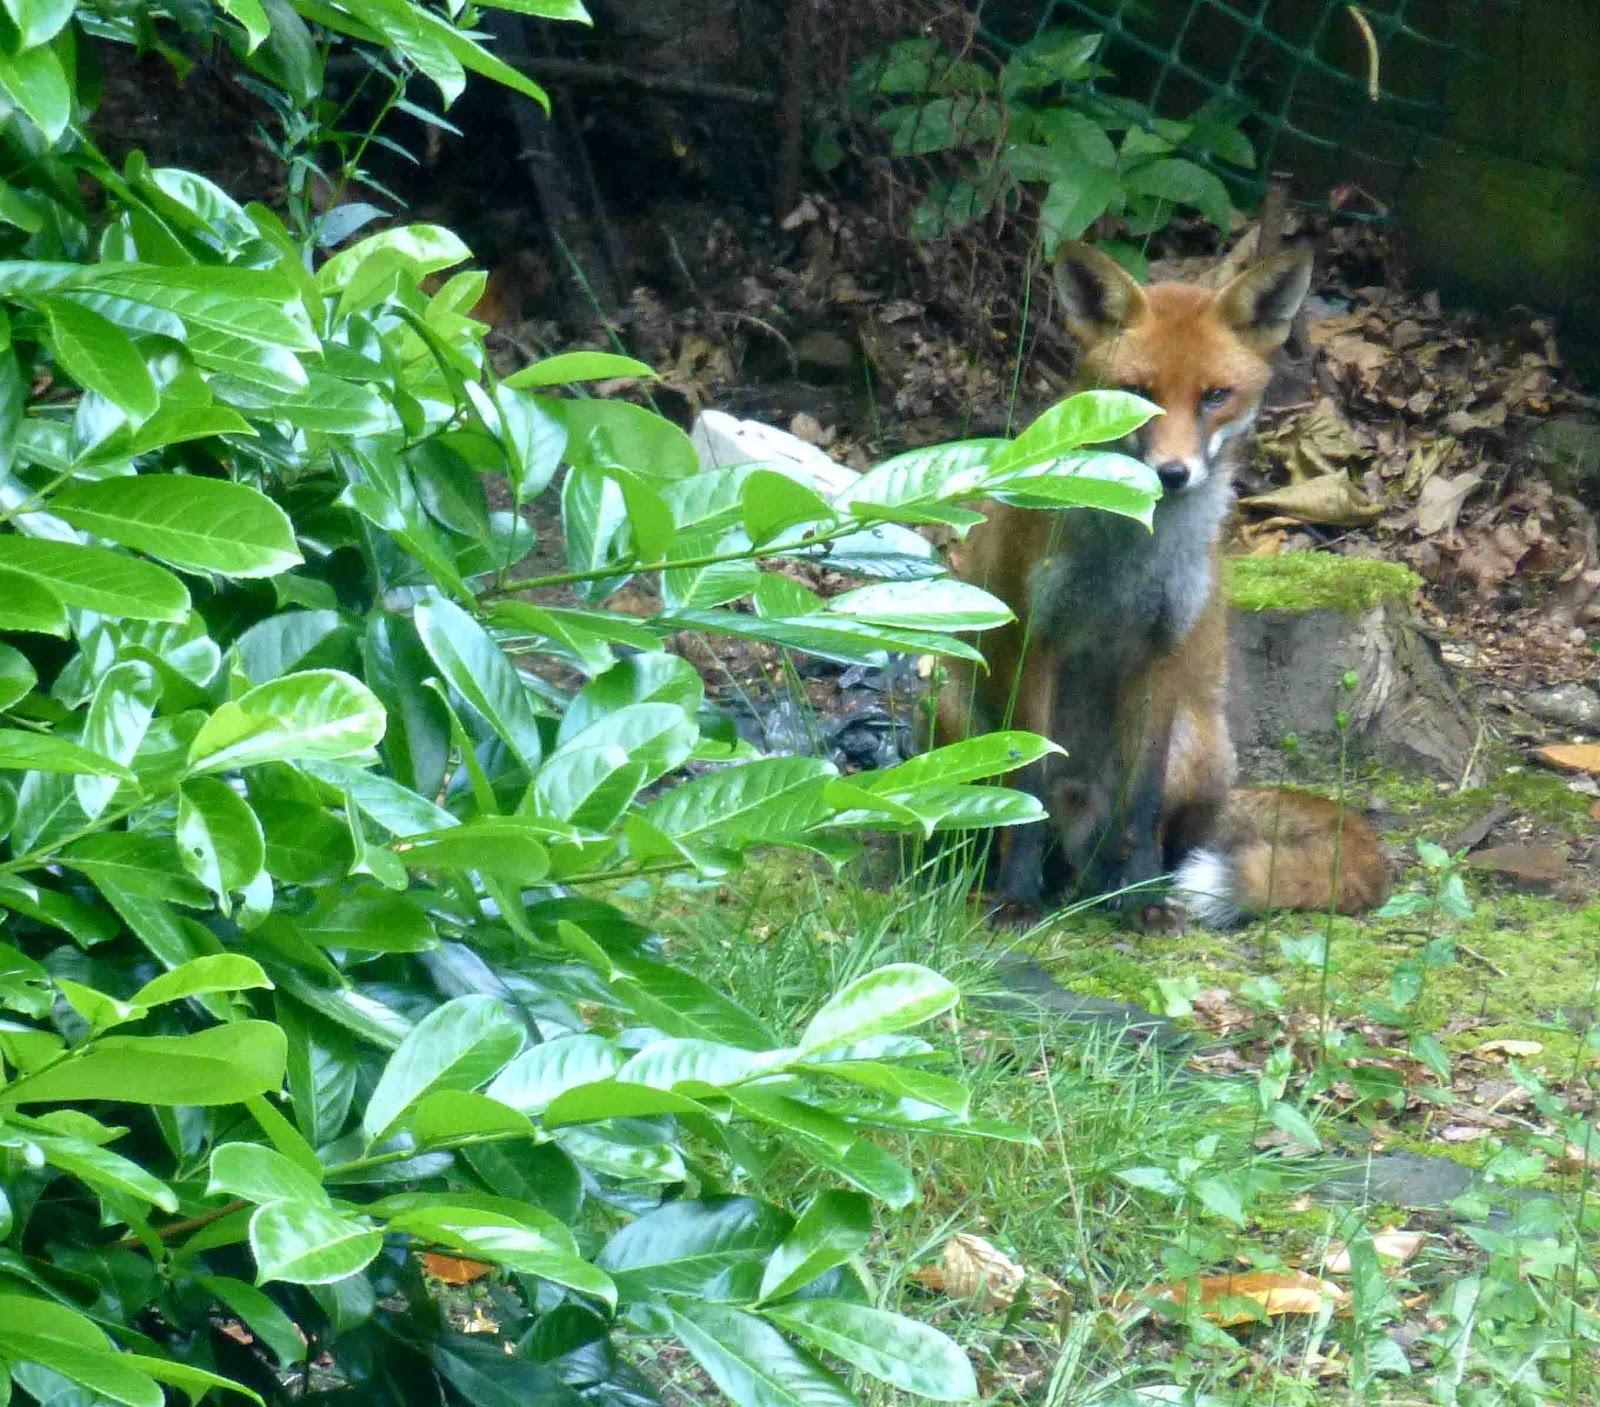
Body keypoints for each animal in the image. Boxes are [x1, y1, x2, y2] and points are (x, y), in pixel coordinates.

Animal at [935, 240, 1388, 929]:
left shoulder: (1162, 650)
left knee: (1151, 836)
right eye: (1136, 394)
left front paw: (1145, 902)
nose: (1173, 474)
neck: (1126, 562)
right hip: (958, 710)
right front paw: (1015, 897)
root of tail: (1080, 819)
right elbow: (1027, 793)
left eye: (1215, 396)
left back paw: (1117, 887)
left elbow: (1141, 804)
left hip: (1196, 744)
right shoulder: (1036, 643)